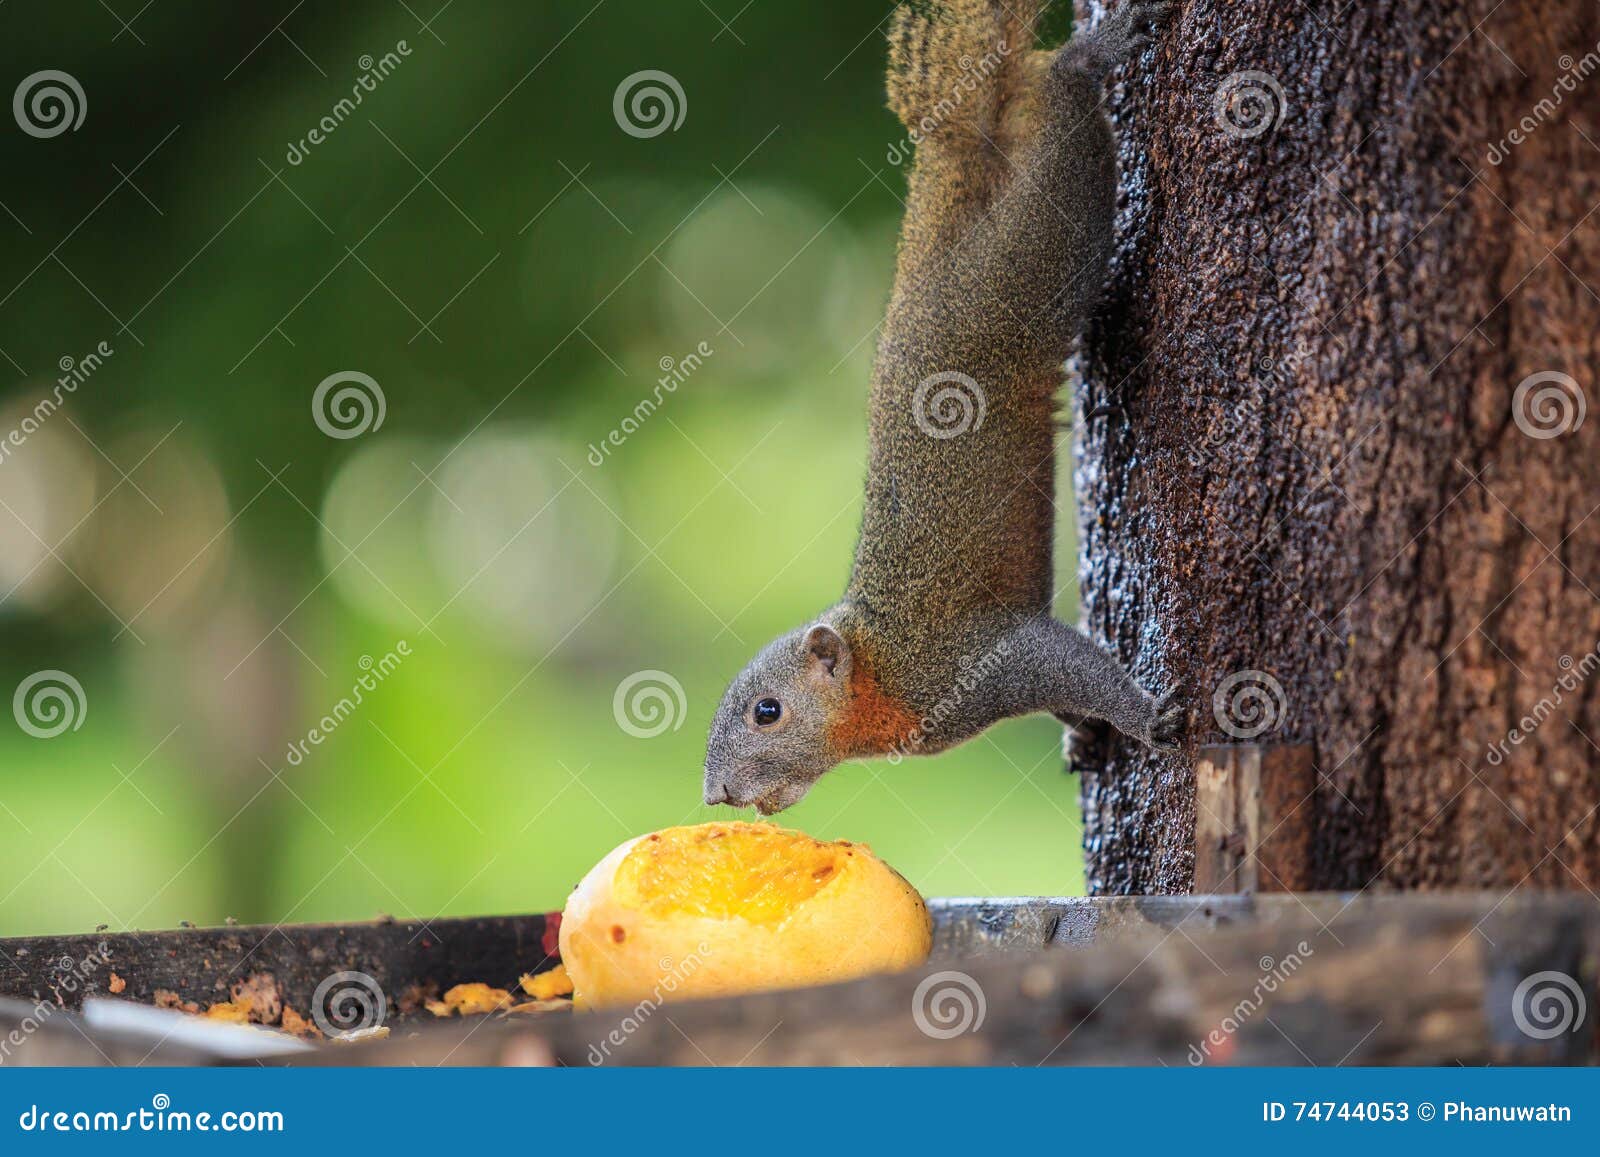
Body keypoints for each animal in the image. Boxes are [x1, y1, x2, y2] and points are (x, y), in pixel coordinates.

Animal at [704, 0, 1183, 815]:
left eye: (768, 711)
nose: (717, 795)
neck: (878, 670)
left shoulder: (983, 662)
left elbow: (1069, 663)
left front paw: (1146, 717)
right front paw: (1086, 737)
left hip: (1027, 267)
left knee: (1063, 135)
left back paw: (1088, 56)